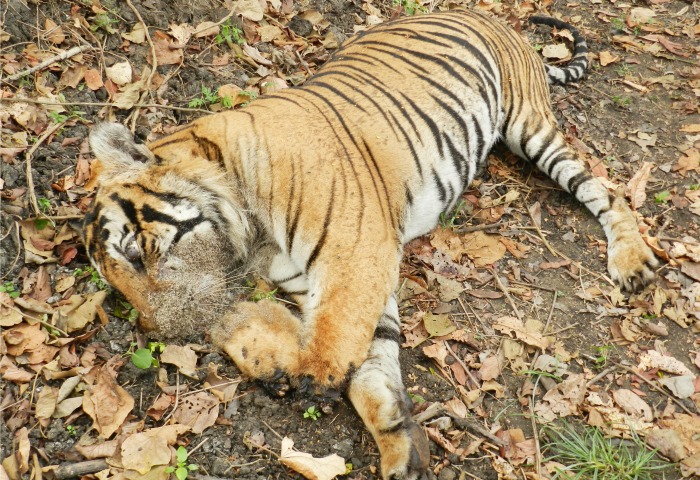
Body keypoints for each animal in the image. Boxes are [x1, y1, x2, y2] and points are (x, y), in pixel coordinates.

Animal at [82, 10, 658, 479]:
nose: (160, 332)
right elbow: (372, 367)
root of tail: (496, 18)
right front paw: (402, 446)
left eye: (136, 254)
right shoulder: (337, 277)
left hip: (532, 127)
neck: (251, 235)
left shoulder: (357, 253)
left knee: (605, 190)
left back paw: (633, 262)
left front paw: (275, 357)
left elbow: (325, 347)